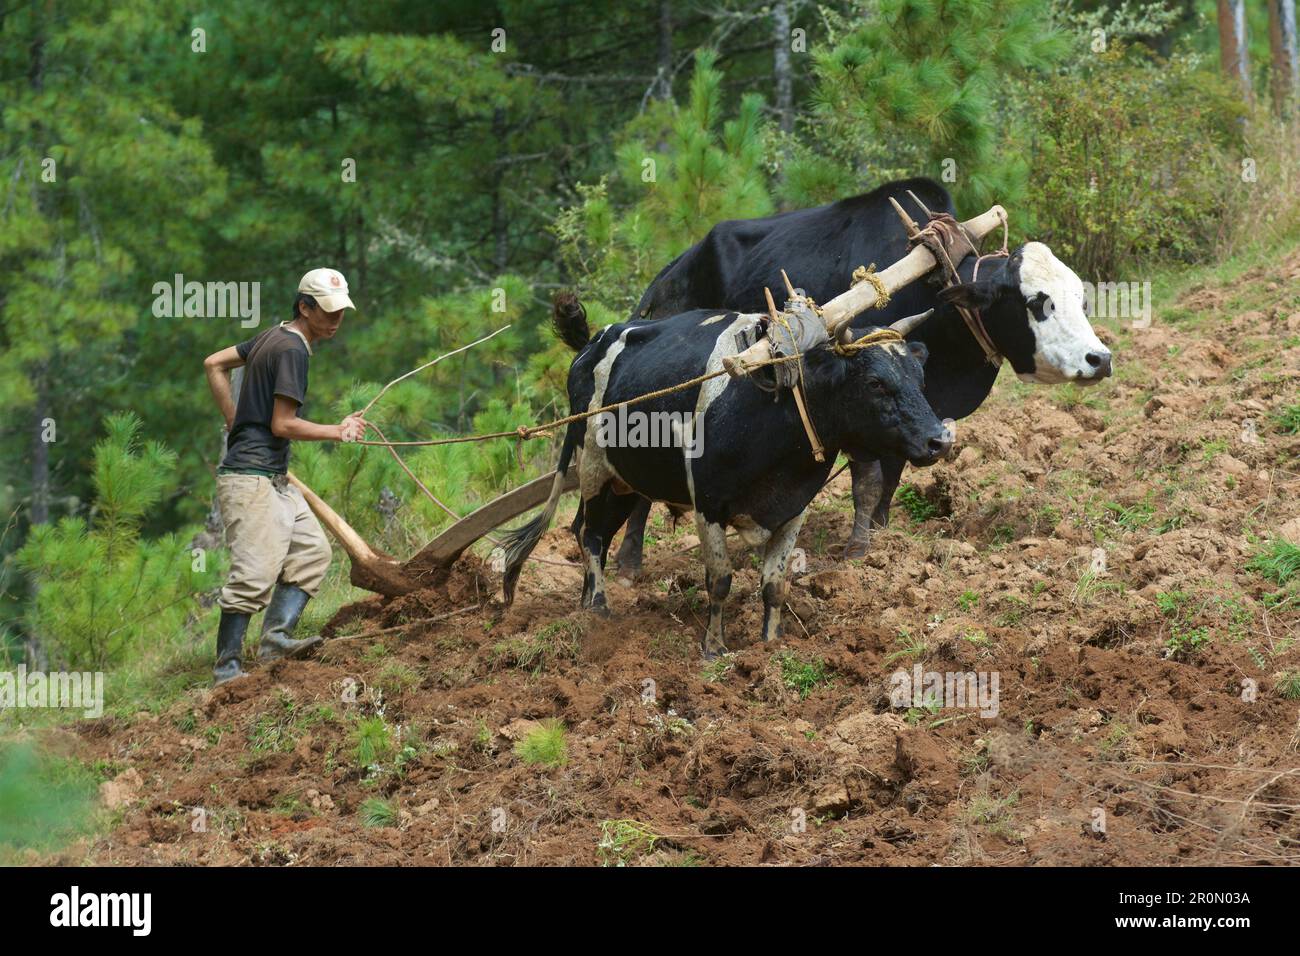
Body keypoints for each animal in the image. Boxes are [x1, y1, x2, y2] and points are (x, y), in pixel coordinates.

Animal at [498, 300, 952, 658]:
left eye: (920, 377)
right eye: (875, 382)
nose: (940, 440)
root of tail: (590, 344)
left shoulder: (793, 509)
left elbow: (774, 584)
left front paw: (770, 644)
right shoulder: (709, 504)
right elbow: (719, 580)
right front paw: (714, 648)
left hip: (626, 480)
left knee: (586, 530)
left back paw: (585, 602)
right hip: (594, 468)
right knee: (591, 535)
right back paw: (598, 610)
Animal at [608, 176, 1112, 575]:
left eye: (1080, 298)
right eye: (1037, 302)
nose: (1100, 359)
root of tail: (671, 273)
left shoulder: (913, 410)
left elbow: (893, 474)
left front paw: (882, 533)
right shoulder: (858, 405)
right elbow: (868, 482)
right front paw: (858, 549)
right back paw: (629, 562)